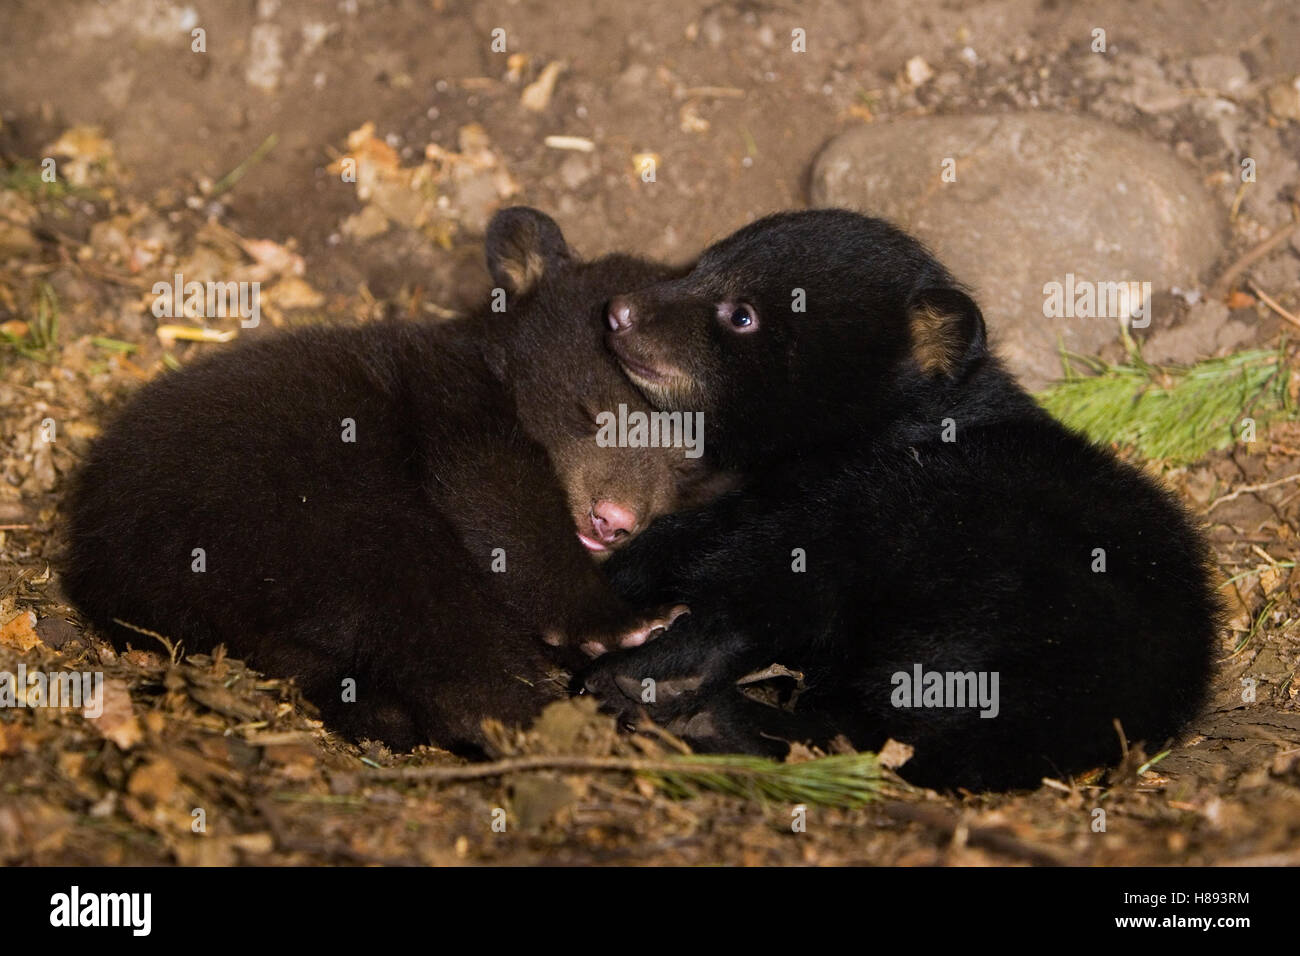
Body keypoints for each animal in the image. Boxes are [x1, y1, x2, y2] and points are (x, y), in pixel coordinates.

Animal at [62, 206, 721, 755]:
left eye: (685, 462)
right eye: (591, 412)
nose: (613, 521)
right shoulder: (450, 405)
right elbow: (500, 502)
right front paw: (622, 622)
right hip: (290, 513)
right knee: (424, 605)